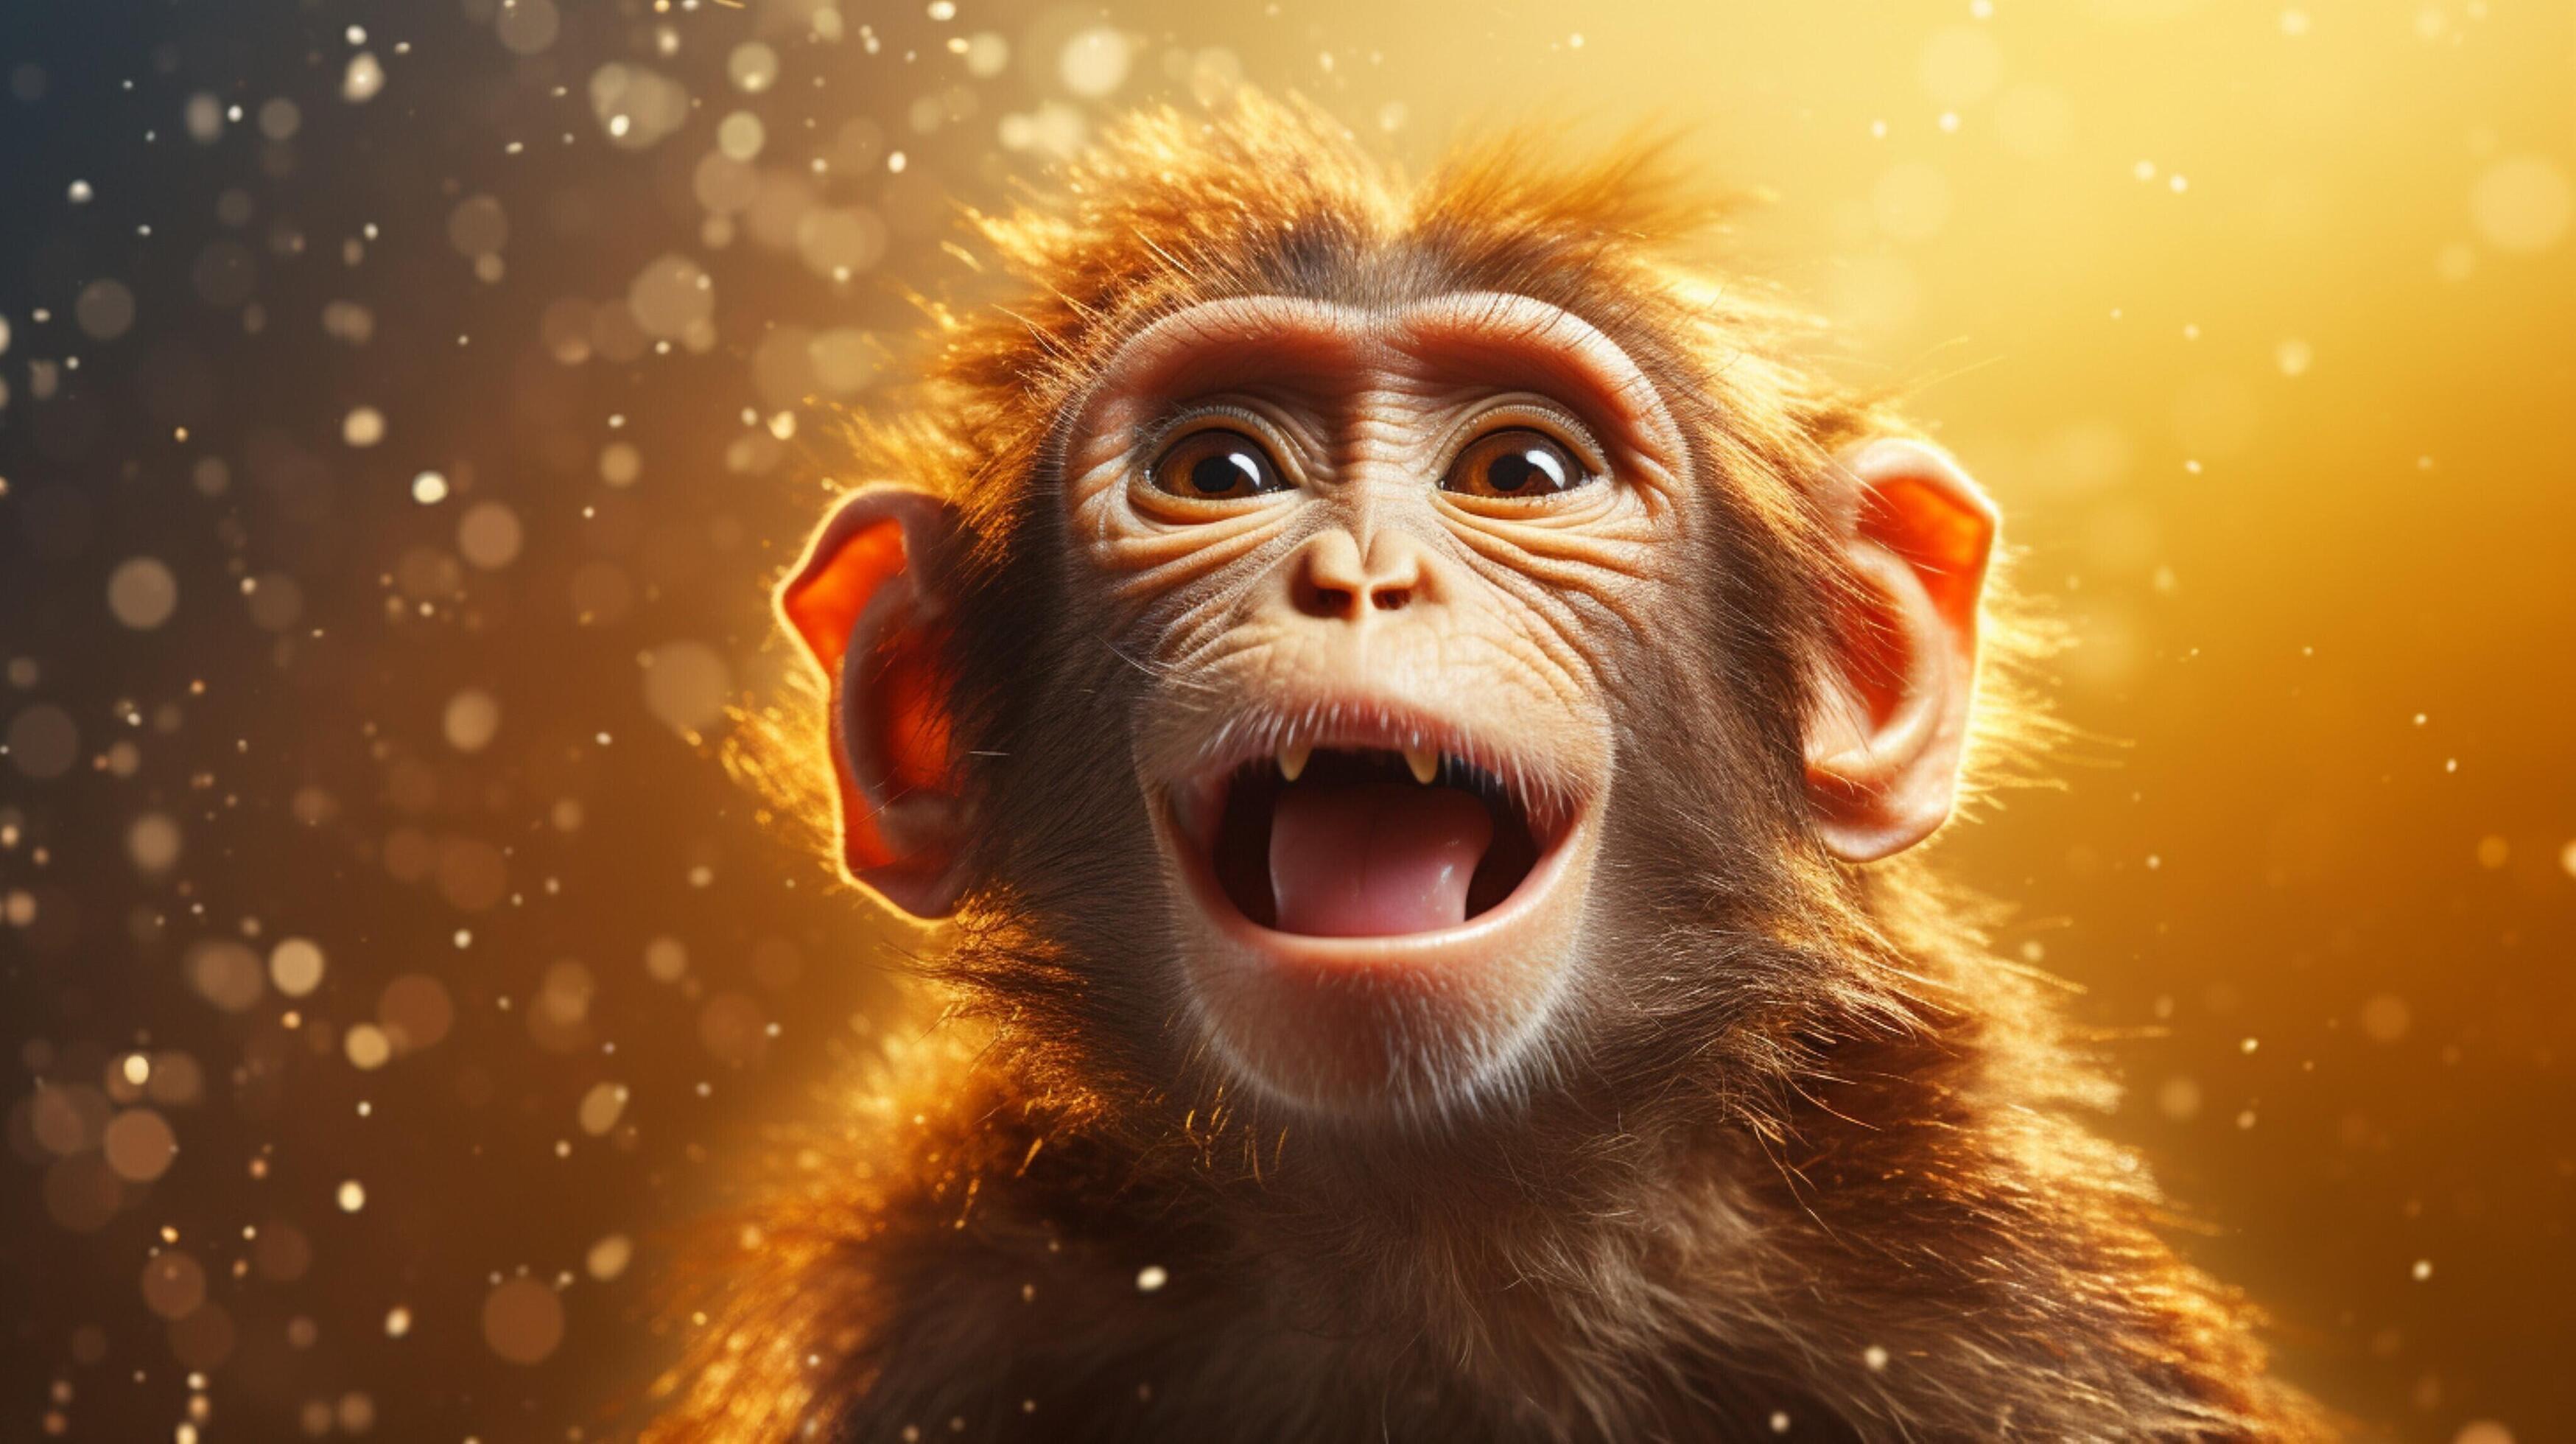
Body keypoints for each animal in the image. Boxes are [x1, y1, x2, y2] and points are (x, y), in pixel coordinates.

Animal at [643, 95, 2329, 1443]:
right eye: (1218, 471)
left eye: (1519, 471)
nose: (1358, 576)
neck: (1446, 1254)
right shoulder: (938, 1318)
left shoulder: (2003, 1333)